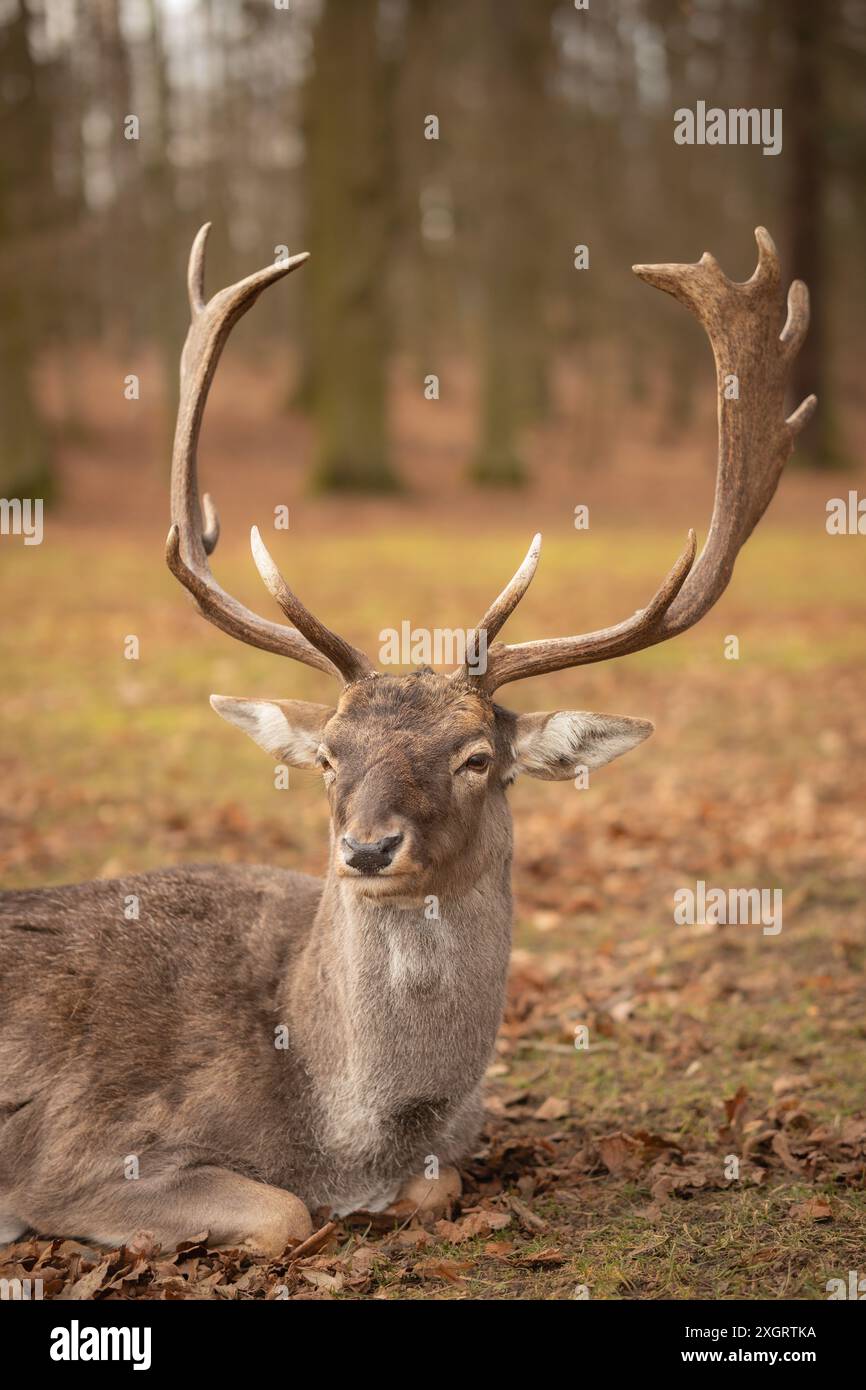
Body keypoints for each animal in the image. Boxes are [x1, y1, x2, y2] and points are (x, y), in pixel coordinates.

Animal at [0, 225, 814, 1256]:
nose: (367, 848)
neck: (347, 1129)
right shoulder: (77, 1156)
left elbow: (433, 1188)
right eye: (327, 756)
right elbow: (280, 1210)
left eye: (478, 759)